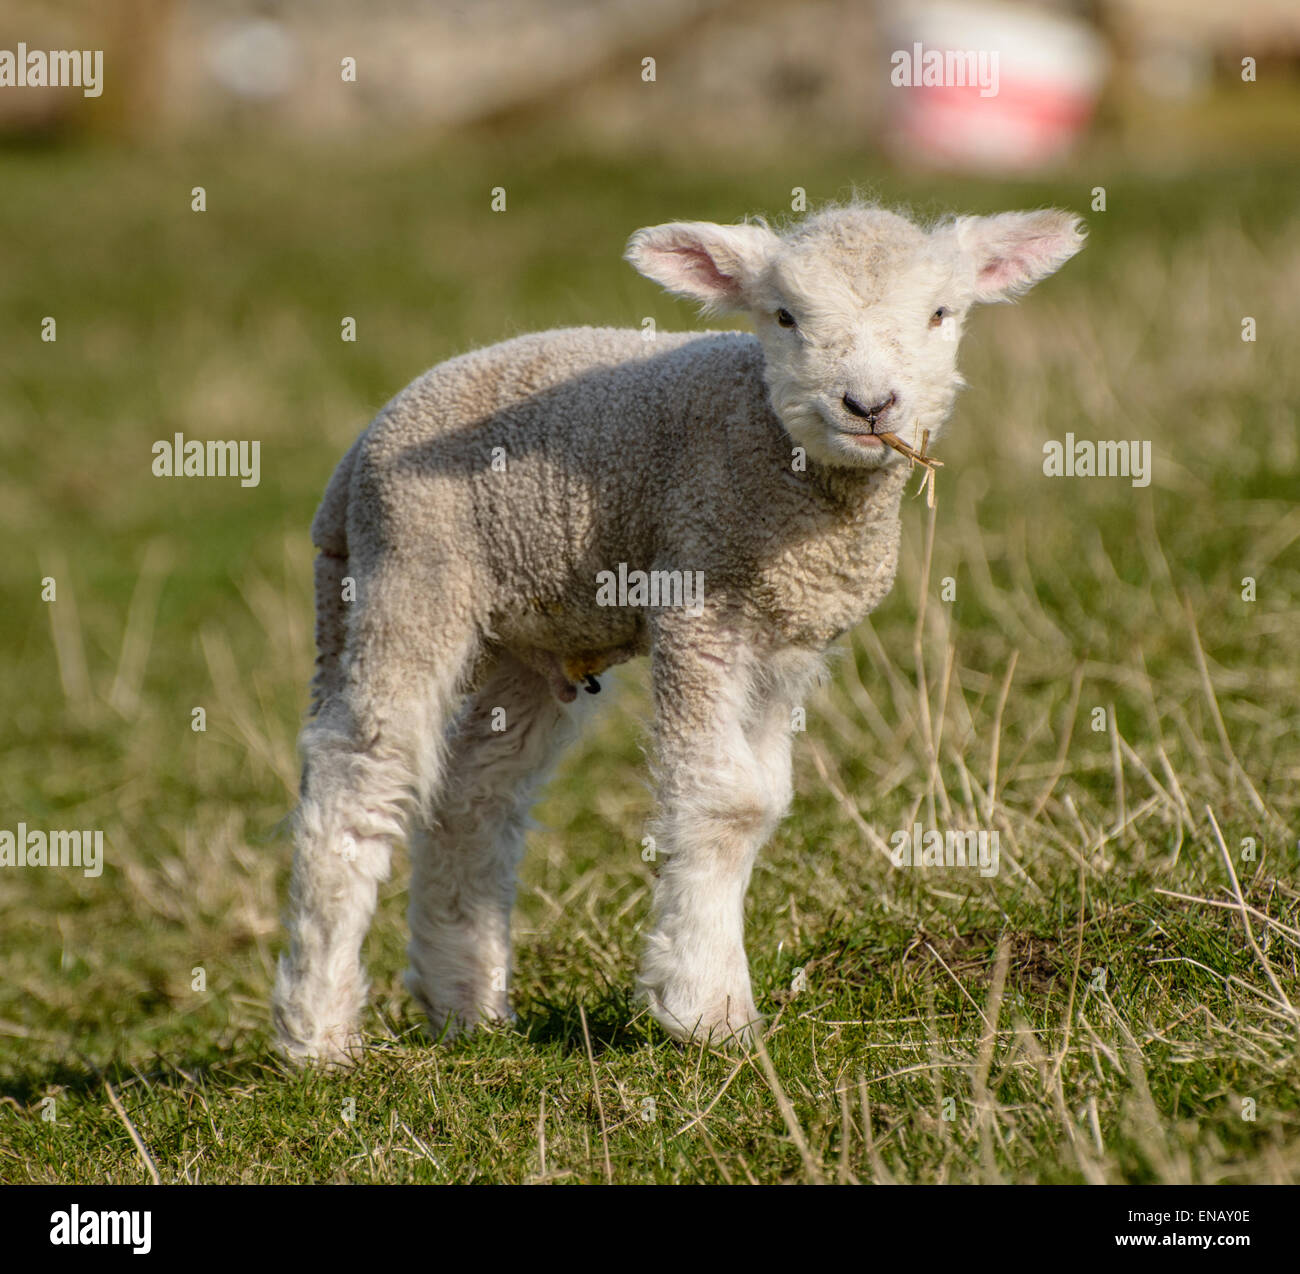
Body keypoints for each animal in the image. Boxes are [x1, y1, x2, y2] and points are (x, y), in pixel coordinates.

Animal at [271, 202, 1085, 1064]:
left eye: (941, 314)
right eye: (785, 317)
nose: (869, 406)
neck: (771, 445)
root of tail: (353, 460)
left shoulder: (783, 638)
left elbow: (761, 799)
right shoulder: (701, 598)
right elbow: (722, 800)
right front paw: (706, 1009)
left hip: (522, 634)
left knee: (474, 795)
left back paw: (468, 1006)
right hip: (403, 572)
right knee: (360, 773)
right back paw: (316, 1033)